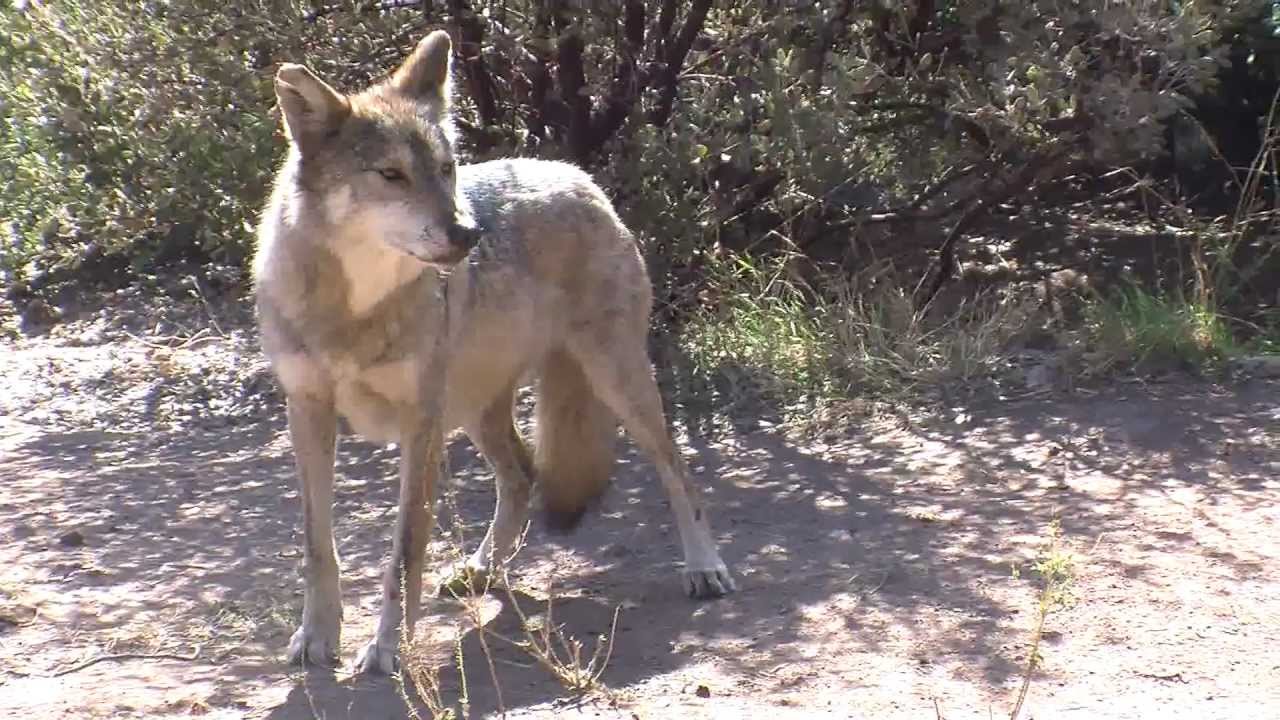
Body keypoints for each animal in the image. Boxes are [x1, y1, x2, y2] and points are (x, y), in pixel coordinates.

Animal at [252, 30, 735, 673]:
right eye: (391, 175)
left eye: (446, 169)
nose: (467, 233)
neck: (352, 312)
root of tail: (576, 175)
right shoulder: (307, 412)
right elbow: (317, 545)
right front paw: (316, 637)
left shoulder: (420, 424)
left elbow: (404, 552)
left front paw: (388, 648)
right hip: (475, 410)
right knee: (524, 475)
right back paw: (481, 570)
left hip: (614, 383)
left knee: (677, 470)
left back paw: (705, 566)